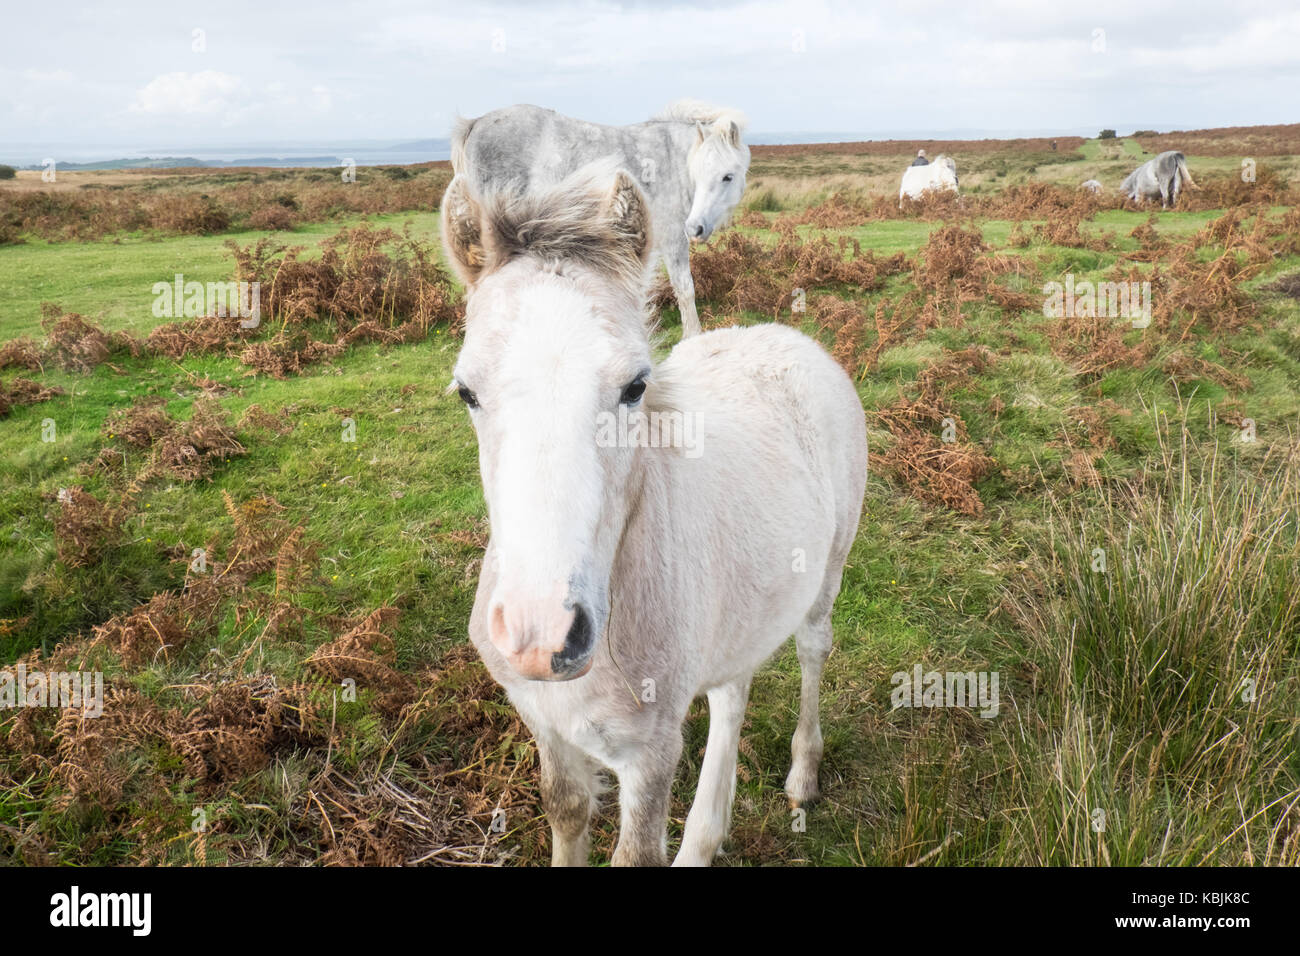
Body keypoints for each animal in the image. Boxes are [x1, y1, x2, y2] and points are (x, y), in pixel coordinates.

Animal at [440, 159, 868, 866]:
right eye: (467, 392)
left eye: (636, 386)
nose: (540, 635)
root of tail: (785, 337)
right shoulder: (545, 724)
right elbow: (566, 808)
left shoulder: (649, 753)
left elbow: (636, 851)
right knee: (731, 690)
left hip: (827, 573)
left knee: (813, 648)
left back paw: (803, 774)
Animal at [449, 100, 750, 338]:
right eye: (698, 174)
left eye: (727, 176)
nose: (695, 228)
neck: (669, 161)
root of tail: (476, 124)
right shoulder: (674, 238)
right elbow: (685, 288)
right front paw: (692, 337)